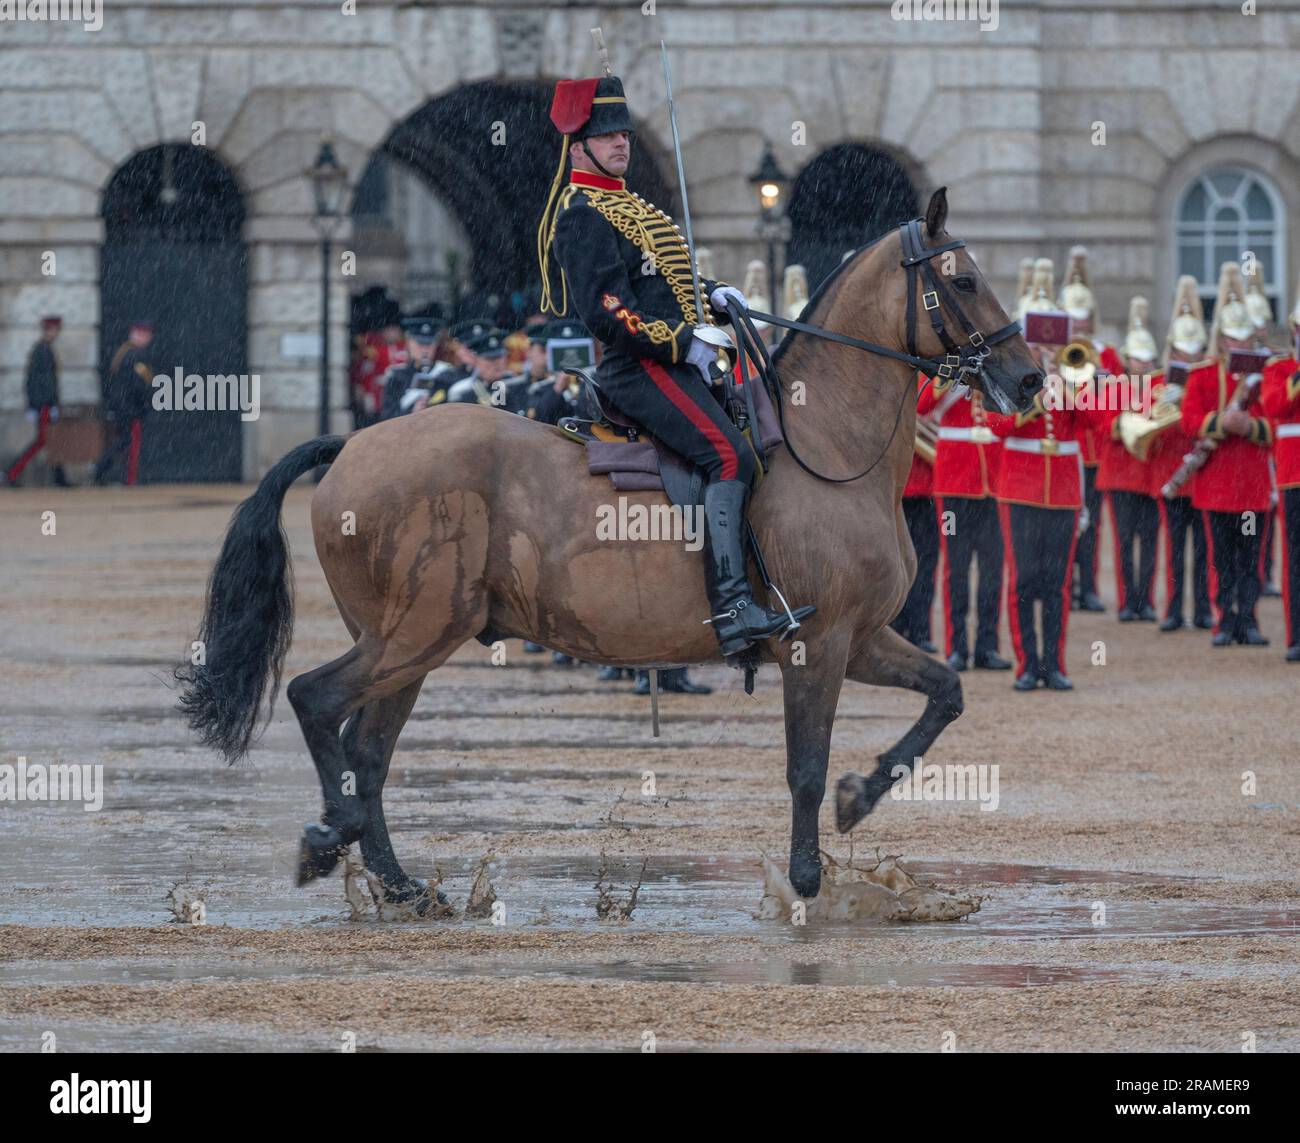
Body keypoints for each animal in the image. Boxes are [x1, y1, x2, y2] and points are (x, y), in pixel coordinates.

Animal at [177, 187, 1042, 910]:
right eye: (964, 280)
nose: (1030, 377)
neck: (823, 440)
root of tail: (353, 443)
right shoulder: (816, 641)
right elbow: (805, 766)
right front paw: (805, 877)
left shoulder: (860, 636)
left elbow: (945, 693)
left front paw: (860, 798)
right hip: (418, 630)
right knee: (318, 702)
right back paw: (331, 838)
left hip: (410, 641)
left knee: (370, 748)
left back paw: (396, 881)